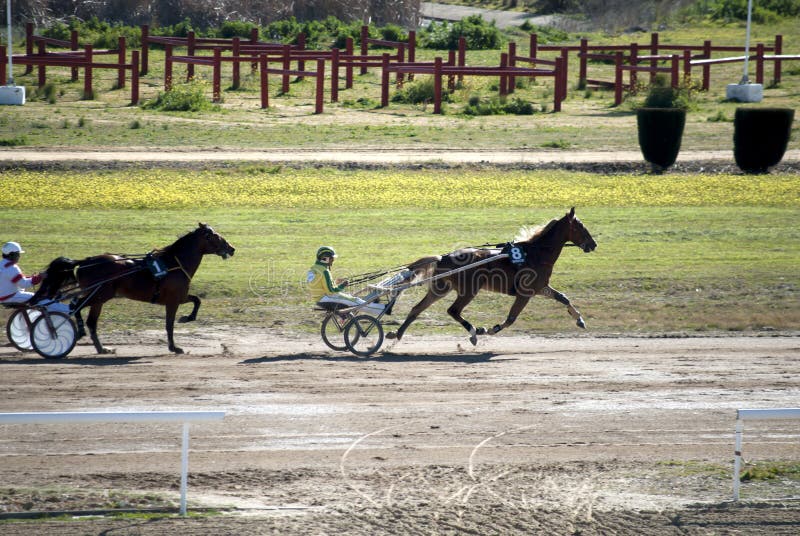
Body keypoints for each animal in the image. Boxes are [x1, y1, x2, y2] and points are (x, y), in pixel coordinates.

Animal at [41, 223, 235, 354]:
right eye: (215, 236)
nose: (232, 248)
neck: (174, 264)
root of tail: (86, 261)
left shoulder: (179, 296)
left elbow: (197, 300)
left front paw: (187, 318)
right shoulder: (173, 301)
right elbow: (169, 324)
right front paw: (174, 346)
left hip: (98, 297)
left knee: (86, 316)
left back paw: (100, 347)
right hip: (100, 295)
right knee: (77, 308)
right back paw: (84, 335)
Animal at [389, 208, 597, 345]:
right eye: (580, 227)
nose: (593, 244)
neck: (536, 254)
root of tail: (444, 257)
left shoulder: (540, 287)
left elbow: (563, 298)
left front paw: (580, 320)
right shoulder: (526, 293)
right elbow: (511, 318)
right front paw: (491, 329)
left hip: (441, 288)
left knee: (417, 309)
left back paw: (397, 335)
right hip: (469, 290)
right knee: (453, 311)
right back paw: (474, 332)